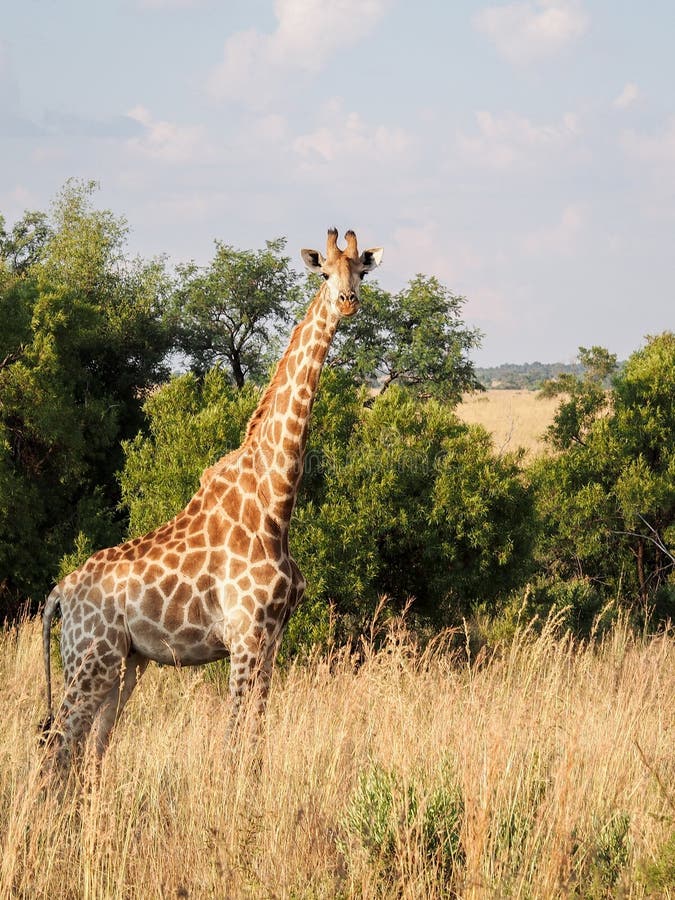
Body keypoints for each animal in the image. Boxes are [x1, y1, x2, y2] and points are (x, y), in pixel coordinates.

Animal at [42, 228, 383, 767]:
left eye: (361, 273)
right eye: (325, 273)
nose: (348, 302)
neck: (275, 500)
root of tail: (58, 596)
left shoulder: (272, 638)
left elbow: (256, 735)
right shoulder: (245, 636)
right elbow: (232, 737)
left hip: (122, 662)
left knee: (88, 750)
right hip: (90, 657)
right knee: (57, 745)